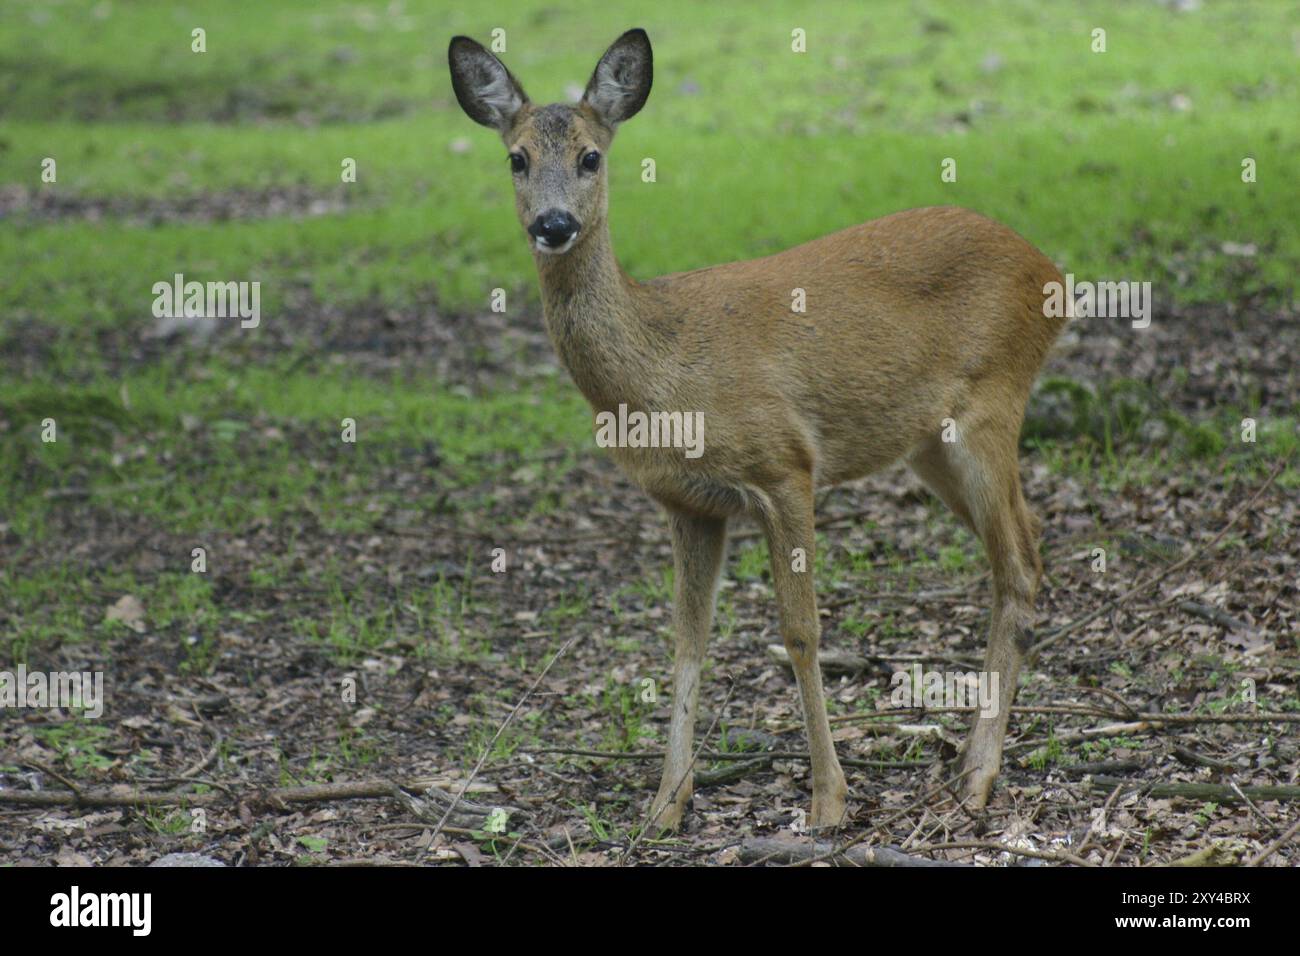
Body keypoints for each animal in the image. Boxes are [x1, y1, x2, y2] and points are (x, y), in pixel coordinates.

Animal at [448, 28, 1069, 830]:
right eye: (516, 158)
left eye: (590, 156)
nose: (552, 225)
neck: (663, 372)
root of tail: (1053, 275)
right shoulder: (688, 503)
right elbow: (687, 642)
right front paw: (665, 805)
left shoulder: (785, 465)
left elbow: (801, 633)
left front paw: (829, 801)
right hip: (928, 443)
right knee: (1026, 545)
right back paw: (970, 764)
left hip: (992, 401)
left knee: (1019, 561)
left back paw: (977, 778)